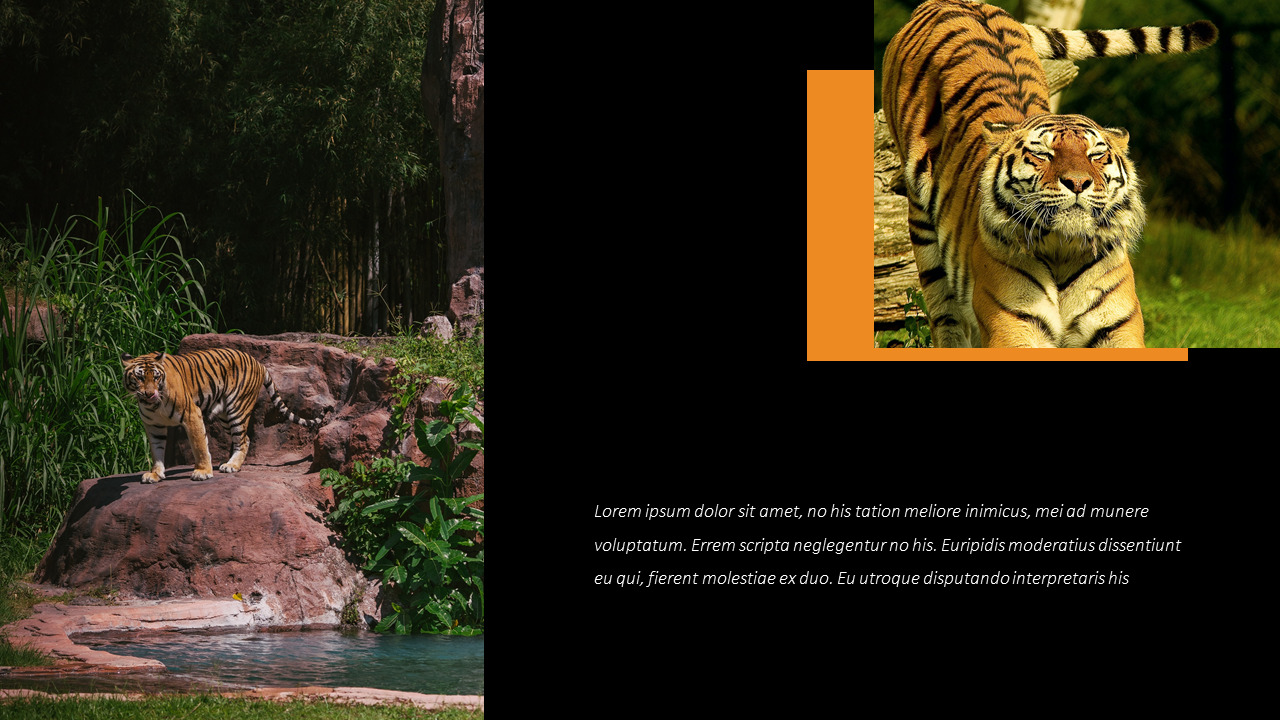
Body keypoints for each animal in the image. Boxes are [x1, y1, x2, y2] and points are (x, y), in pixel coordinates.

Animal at [121, 348, 328, 483]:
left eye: (156, 377)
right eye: (140, 377)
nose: (150, 393)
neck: (153, 405)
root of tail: (258, 362)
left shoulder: (192, 414)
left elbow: (199, 445)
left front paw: (202, 471)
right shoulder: (153, 425)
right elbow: (156, 451)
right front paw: (155, 474)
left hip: (237, 408)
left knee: (243, 440)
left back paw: (232, 466)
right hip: (225, 415)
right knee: (245, 439)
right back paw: (228, 462)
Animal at [881, 0, 1217, 347]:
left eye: (1095, 156)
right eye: (1043, 155)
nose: (1077, 183)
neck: (1062, 250)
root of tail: (950, 3)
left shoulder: (1118, 326)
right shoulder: (1015, 326)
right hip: (924, 233)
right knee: (945, 317)